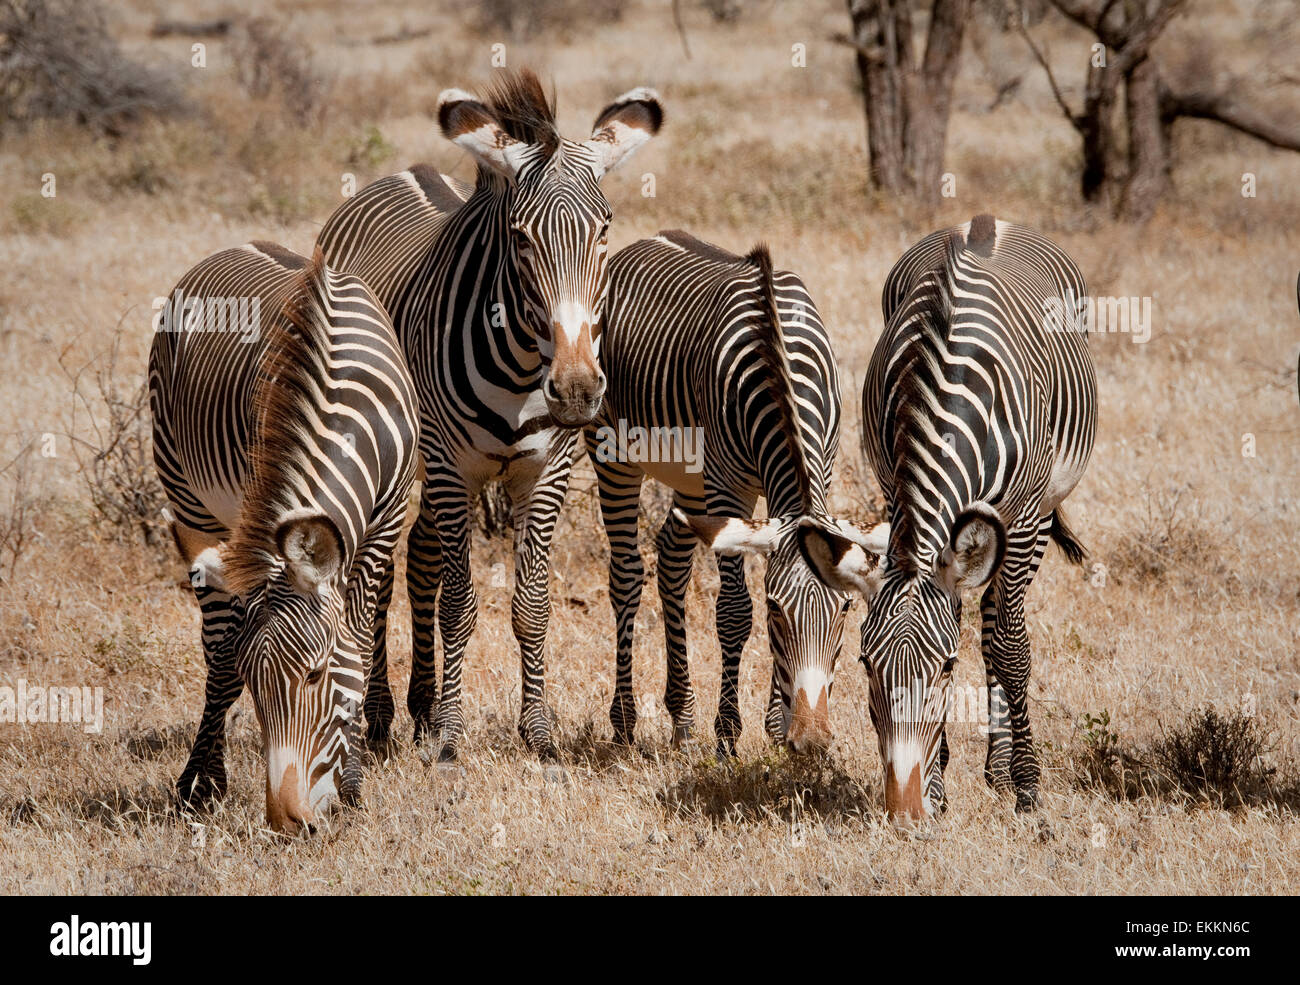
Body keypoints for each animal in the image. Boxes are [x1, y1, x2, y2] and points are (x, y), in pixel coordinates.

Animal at [149, 243, 419, 834]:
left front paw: (354, 784)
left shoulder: (387, 524)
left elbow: (358, 648)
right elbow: (228, 660)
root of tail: (236, 246)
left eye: (316, 676)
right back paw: (202, 782)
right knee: (216, 651)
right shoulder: (257, 507)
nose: (289, 822)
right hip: (188, 494)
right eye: (257, 683)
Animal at [317, 70, 662, 761]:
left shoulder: (546, 471)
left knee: (420, 556)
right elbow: (459, 604)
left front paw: (537, 732)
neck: (522, 366)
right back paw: (381, 716)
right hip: (392, 453)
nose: (577, 390)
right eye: (521, 236)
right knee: (381, 578)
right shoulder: (454, 469)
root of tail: (405, 173)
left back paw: (419, 708)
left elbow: (531, 604)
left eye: (605, 229)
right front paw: (451, 739)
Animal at [585, 231, 883, 756]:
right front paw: (728, 733)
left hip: (691, 479)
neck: (778, 361)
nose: (811, 741)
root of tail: (641, 242)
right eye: (775, 614)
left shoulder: (818, 470)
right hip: (614, 454)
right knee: (625, 576)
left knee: (672, 561)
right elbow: (733, 612)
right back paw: (624, 722)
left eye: (846, 610)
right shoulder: (729, 488)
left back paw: (682, 719)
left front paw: (775, 727)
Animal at [798, 215, 1096, 828]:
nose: (905, 809)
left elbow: (1010, 647)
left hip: (1033, 520)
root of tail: (986, 220)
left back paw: (1003, 768)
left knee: (998, 623)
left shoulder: (1020, 519)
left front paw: (1028, 789)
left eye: (944, 667)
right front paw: (937, 785)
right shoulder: (896, 496)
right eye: (865, 665)